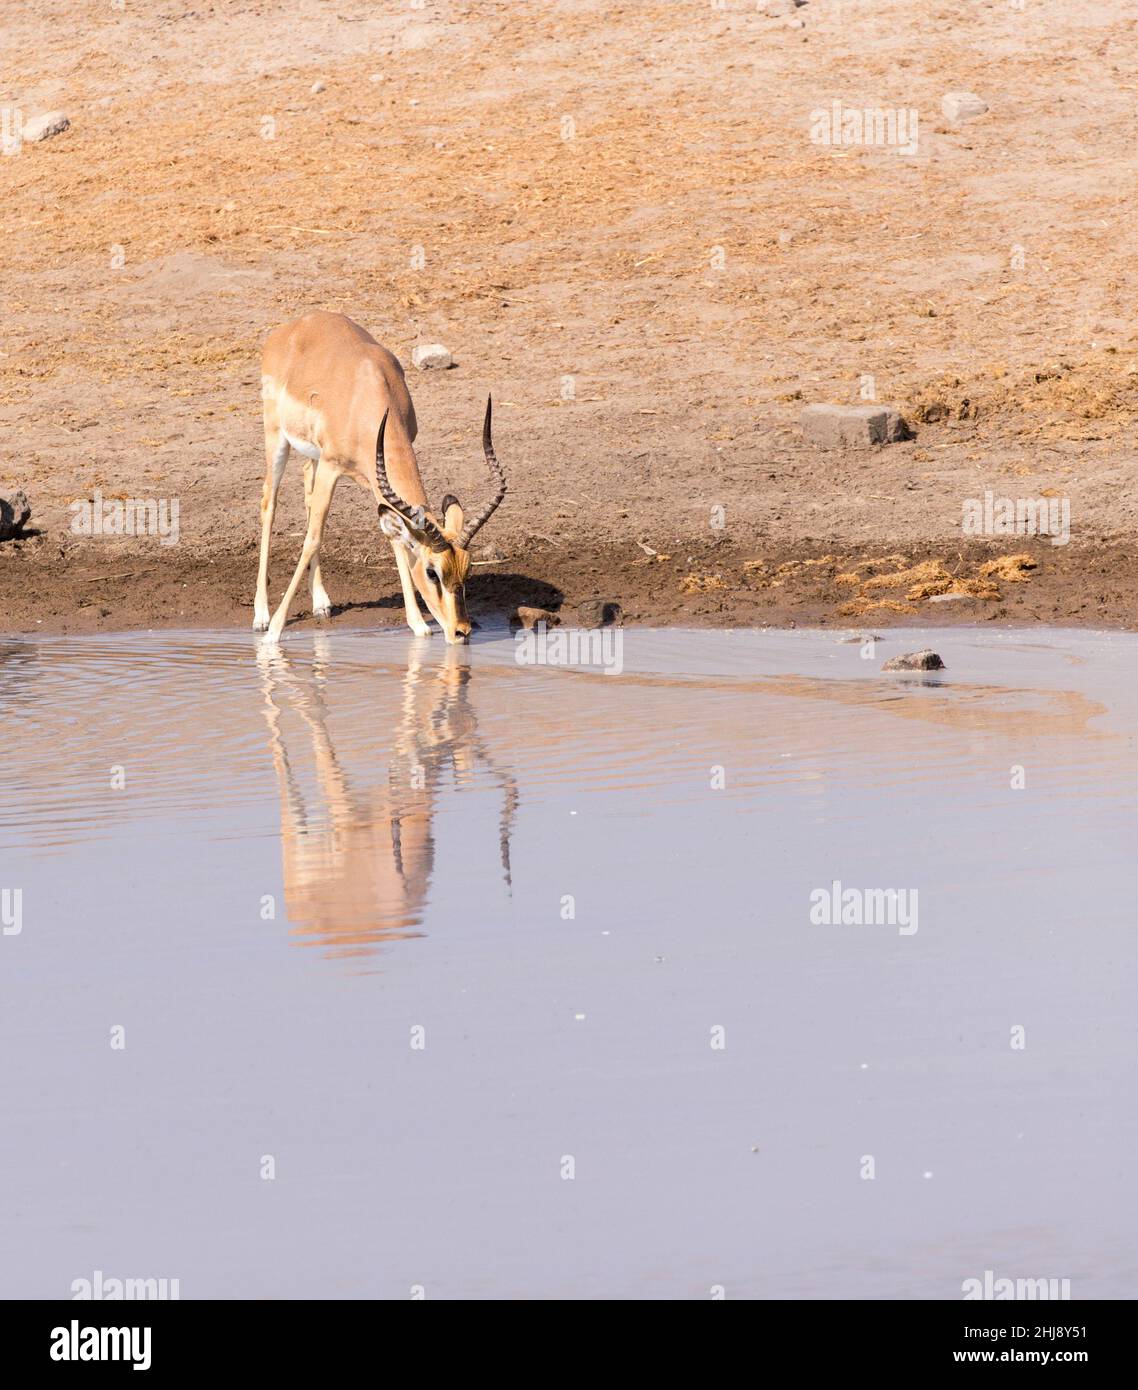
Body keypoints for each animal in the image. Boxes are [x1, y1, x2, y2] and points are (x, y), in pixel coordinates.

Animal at [254, 311, 507, 644]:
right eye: (432, 572)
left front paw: (418, 625)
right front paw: (274, 632)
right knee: (270, 504)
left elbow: (395, 539)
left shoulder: (376, 476)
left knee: (307, 490)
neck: (367, 393)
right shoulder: (333, 466)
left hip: (313, 455)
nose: (461, 632)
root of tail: (294, 326)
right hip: (277, 438)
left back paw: (321, 603)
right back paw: (261, 616)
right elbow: (312, 538)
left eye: (467, 570)